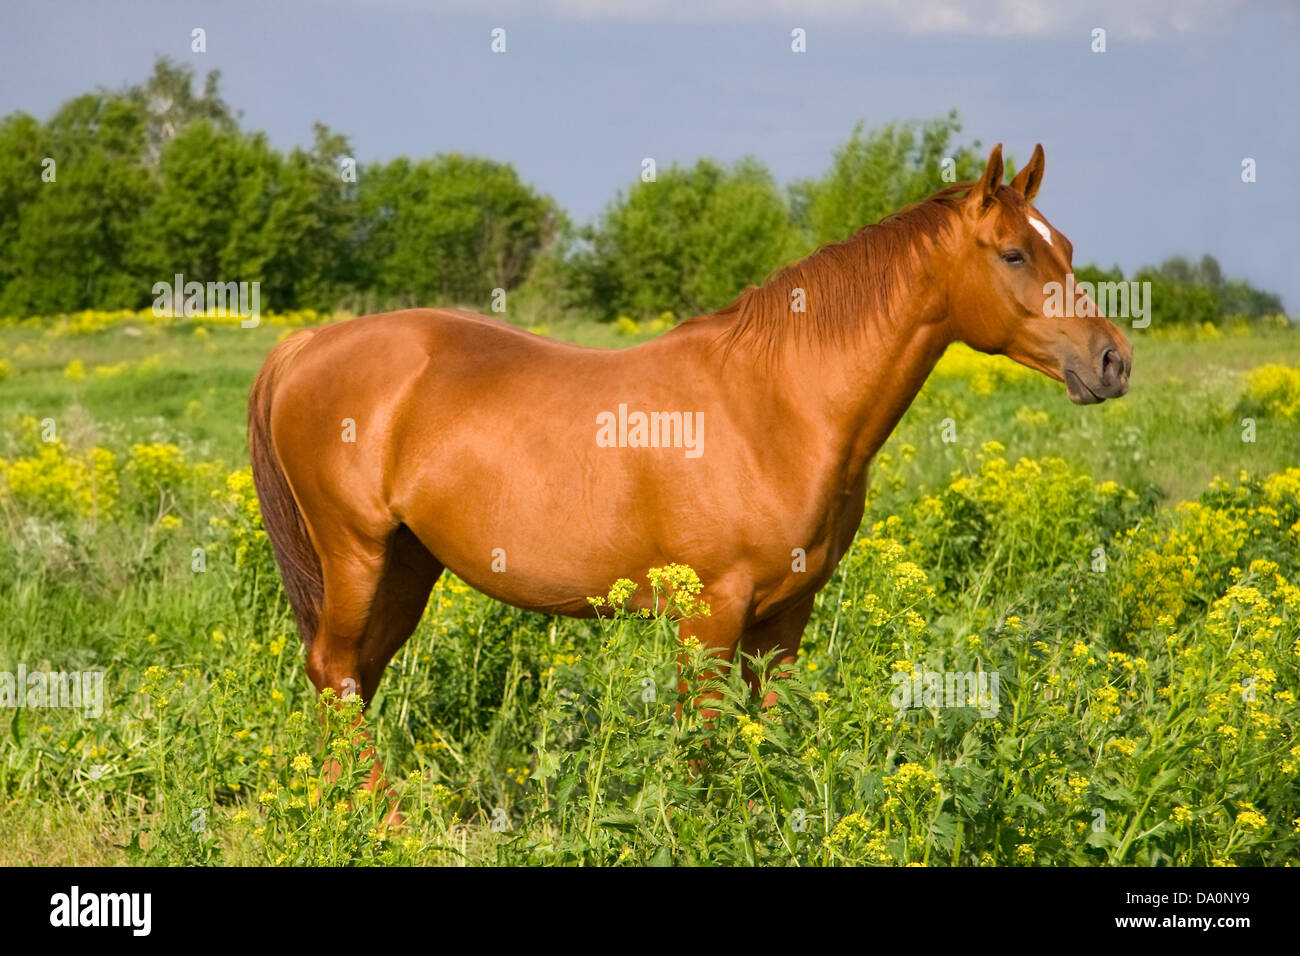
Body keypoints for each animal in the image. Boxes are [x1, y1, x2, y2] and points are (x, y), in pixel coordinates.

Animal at [248, 143, 1131, 764]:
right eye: (1013, 253)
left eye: (1065, 244)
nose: (1112, 360)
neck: (775, 407)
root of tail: (307, 346)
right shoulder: (711, 616)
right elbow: (702, 743)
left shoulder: (784, 616)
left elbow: (768, 728)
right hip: (357, 556)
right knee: (334, 669)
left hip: (406, 566)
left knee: (354, 677)